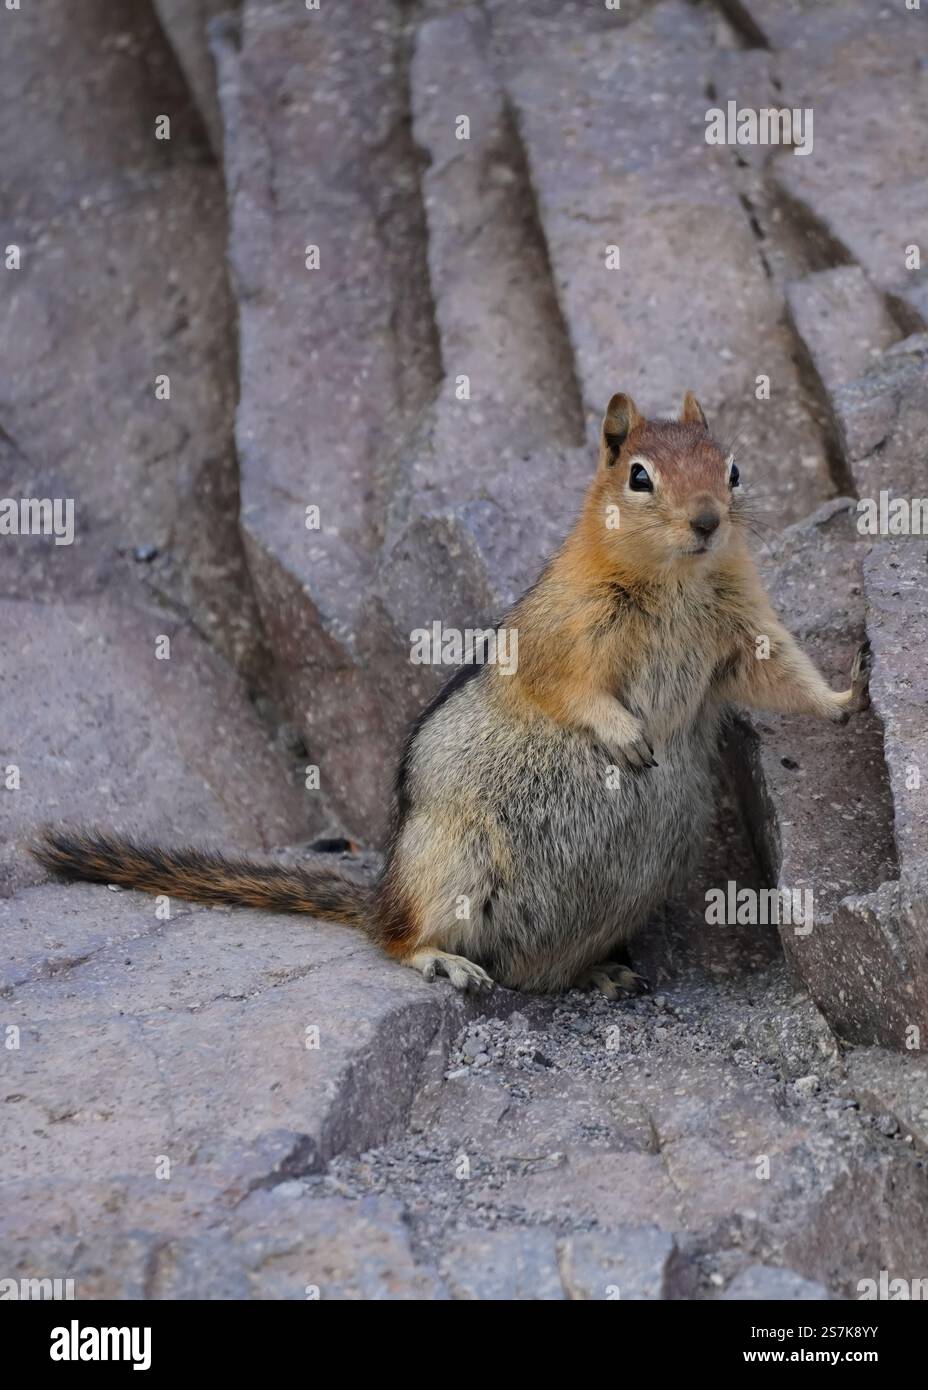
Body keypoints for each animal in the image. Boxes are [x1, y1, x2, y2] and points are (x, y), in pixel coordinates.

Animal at [32, 391, 871, 997]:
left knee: (531, 972)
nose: (707, 521)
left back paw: (597, 973)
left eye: (733, 468)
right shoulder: (558, 635)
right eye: (640, 476)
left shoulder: (744, 629)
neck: (678, 581)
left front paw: (846, 696)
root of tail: (380, 891)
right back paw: (444, 961)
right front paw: (625, 734)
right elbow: (567, 689)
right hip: (455, 859)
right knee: (397, 940)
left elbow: (783, 673)